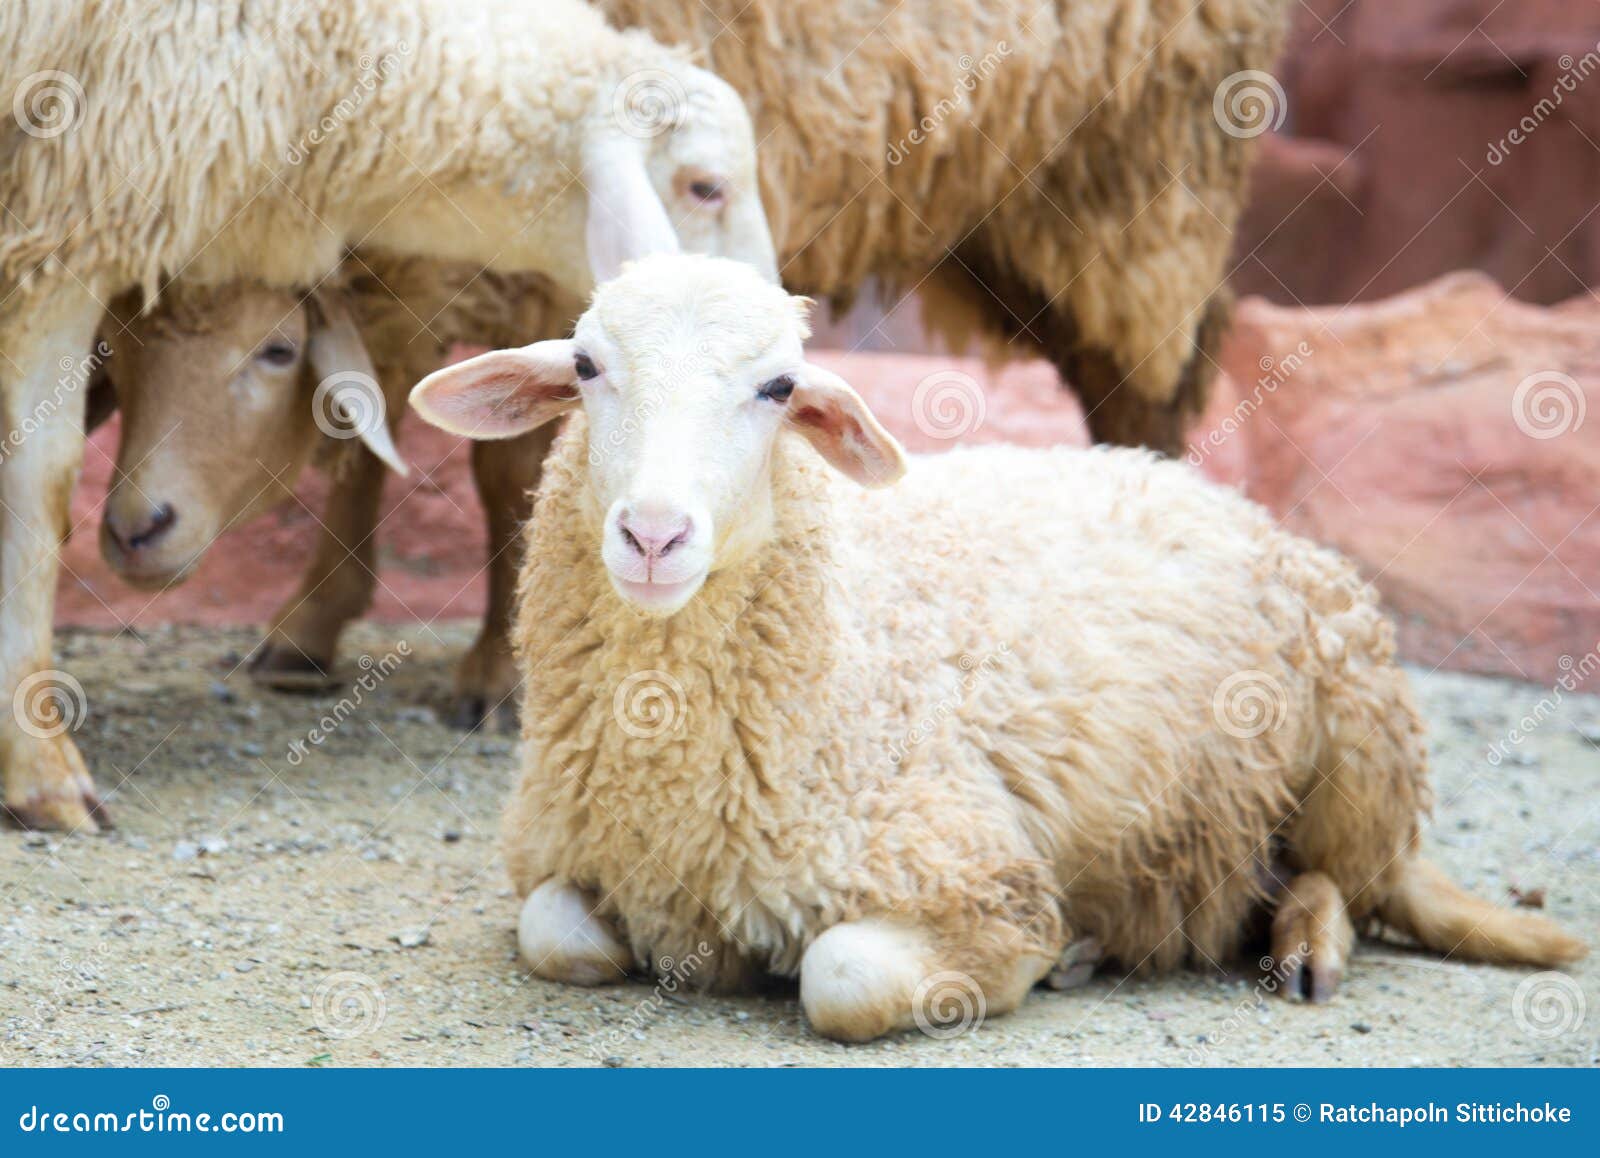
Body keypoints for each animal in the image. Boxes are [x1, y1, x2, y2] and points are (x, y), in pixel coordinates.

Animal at [408, 254, 1584, 1043]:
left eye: (779, 389)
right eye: (586, 366)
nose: (653, 535)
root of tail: (1193, 480)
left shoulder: (968, 865)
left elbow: (842, 978)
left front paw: (1037, 956)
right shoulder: (566, 858)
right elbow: (555, 935)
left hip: (1356, 730)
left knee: (1346, 877)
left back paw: (1295, 950)